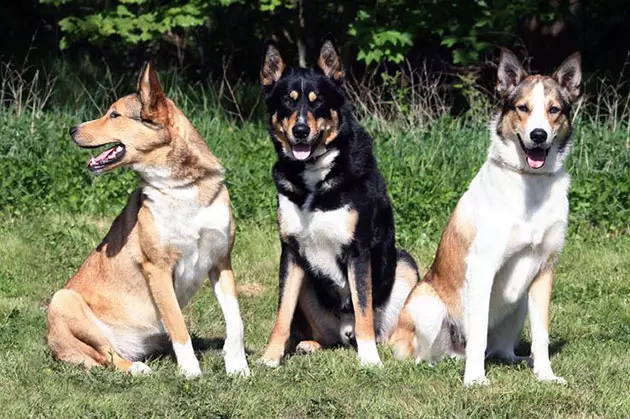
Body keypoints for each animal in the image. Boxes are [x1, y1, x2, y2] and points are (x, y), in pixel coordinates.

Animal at [47, 63, 251, 380]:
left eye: (114, 115)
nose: (71, 130)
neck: (180, 187)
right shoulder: (158, 268)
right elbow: (178, 325)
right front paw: (191, 372)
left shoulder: (221, 261)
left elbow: (236, 321)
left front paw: (238, 366)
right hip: (63, 300)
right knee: (106, 356)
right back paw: (137, 368)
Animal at [256, 38, 420, 368]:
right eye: (288, 101)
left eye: (317, 101)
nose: (300, 130)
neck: (315, 178)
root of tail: (345, 334)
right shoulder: (291, 253)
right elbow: (282, 314)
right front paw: (270, 357)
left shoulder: (358, 252)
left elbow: (363, 309)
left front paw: (370, 362)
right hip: (310, 283)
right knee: (324, 336)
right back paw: (310, 345)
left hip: (406, 264)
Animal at [392, 49, 584, 388]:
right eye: (523, 108)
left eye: (554, 110)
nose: (538, 136)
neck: (530, 183)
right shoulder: (483, 268)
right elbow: (478, 333)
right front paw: (474, 380)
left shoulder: (544, 271)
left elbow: (542, 336)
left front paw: (545, 374)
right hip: (426, 305)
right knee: (427, 354)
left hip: (519, 304)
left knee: (501, 350)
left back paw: (519, 360)